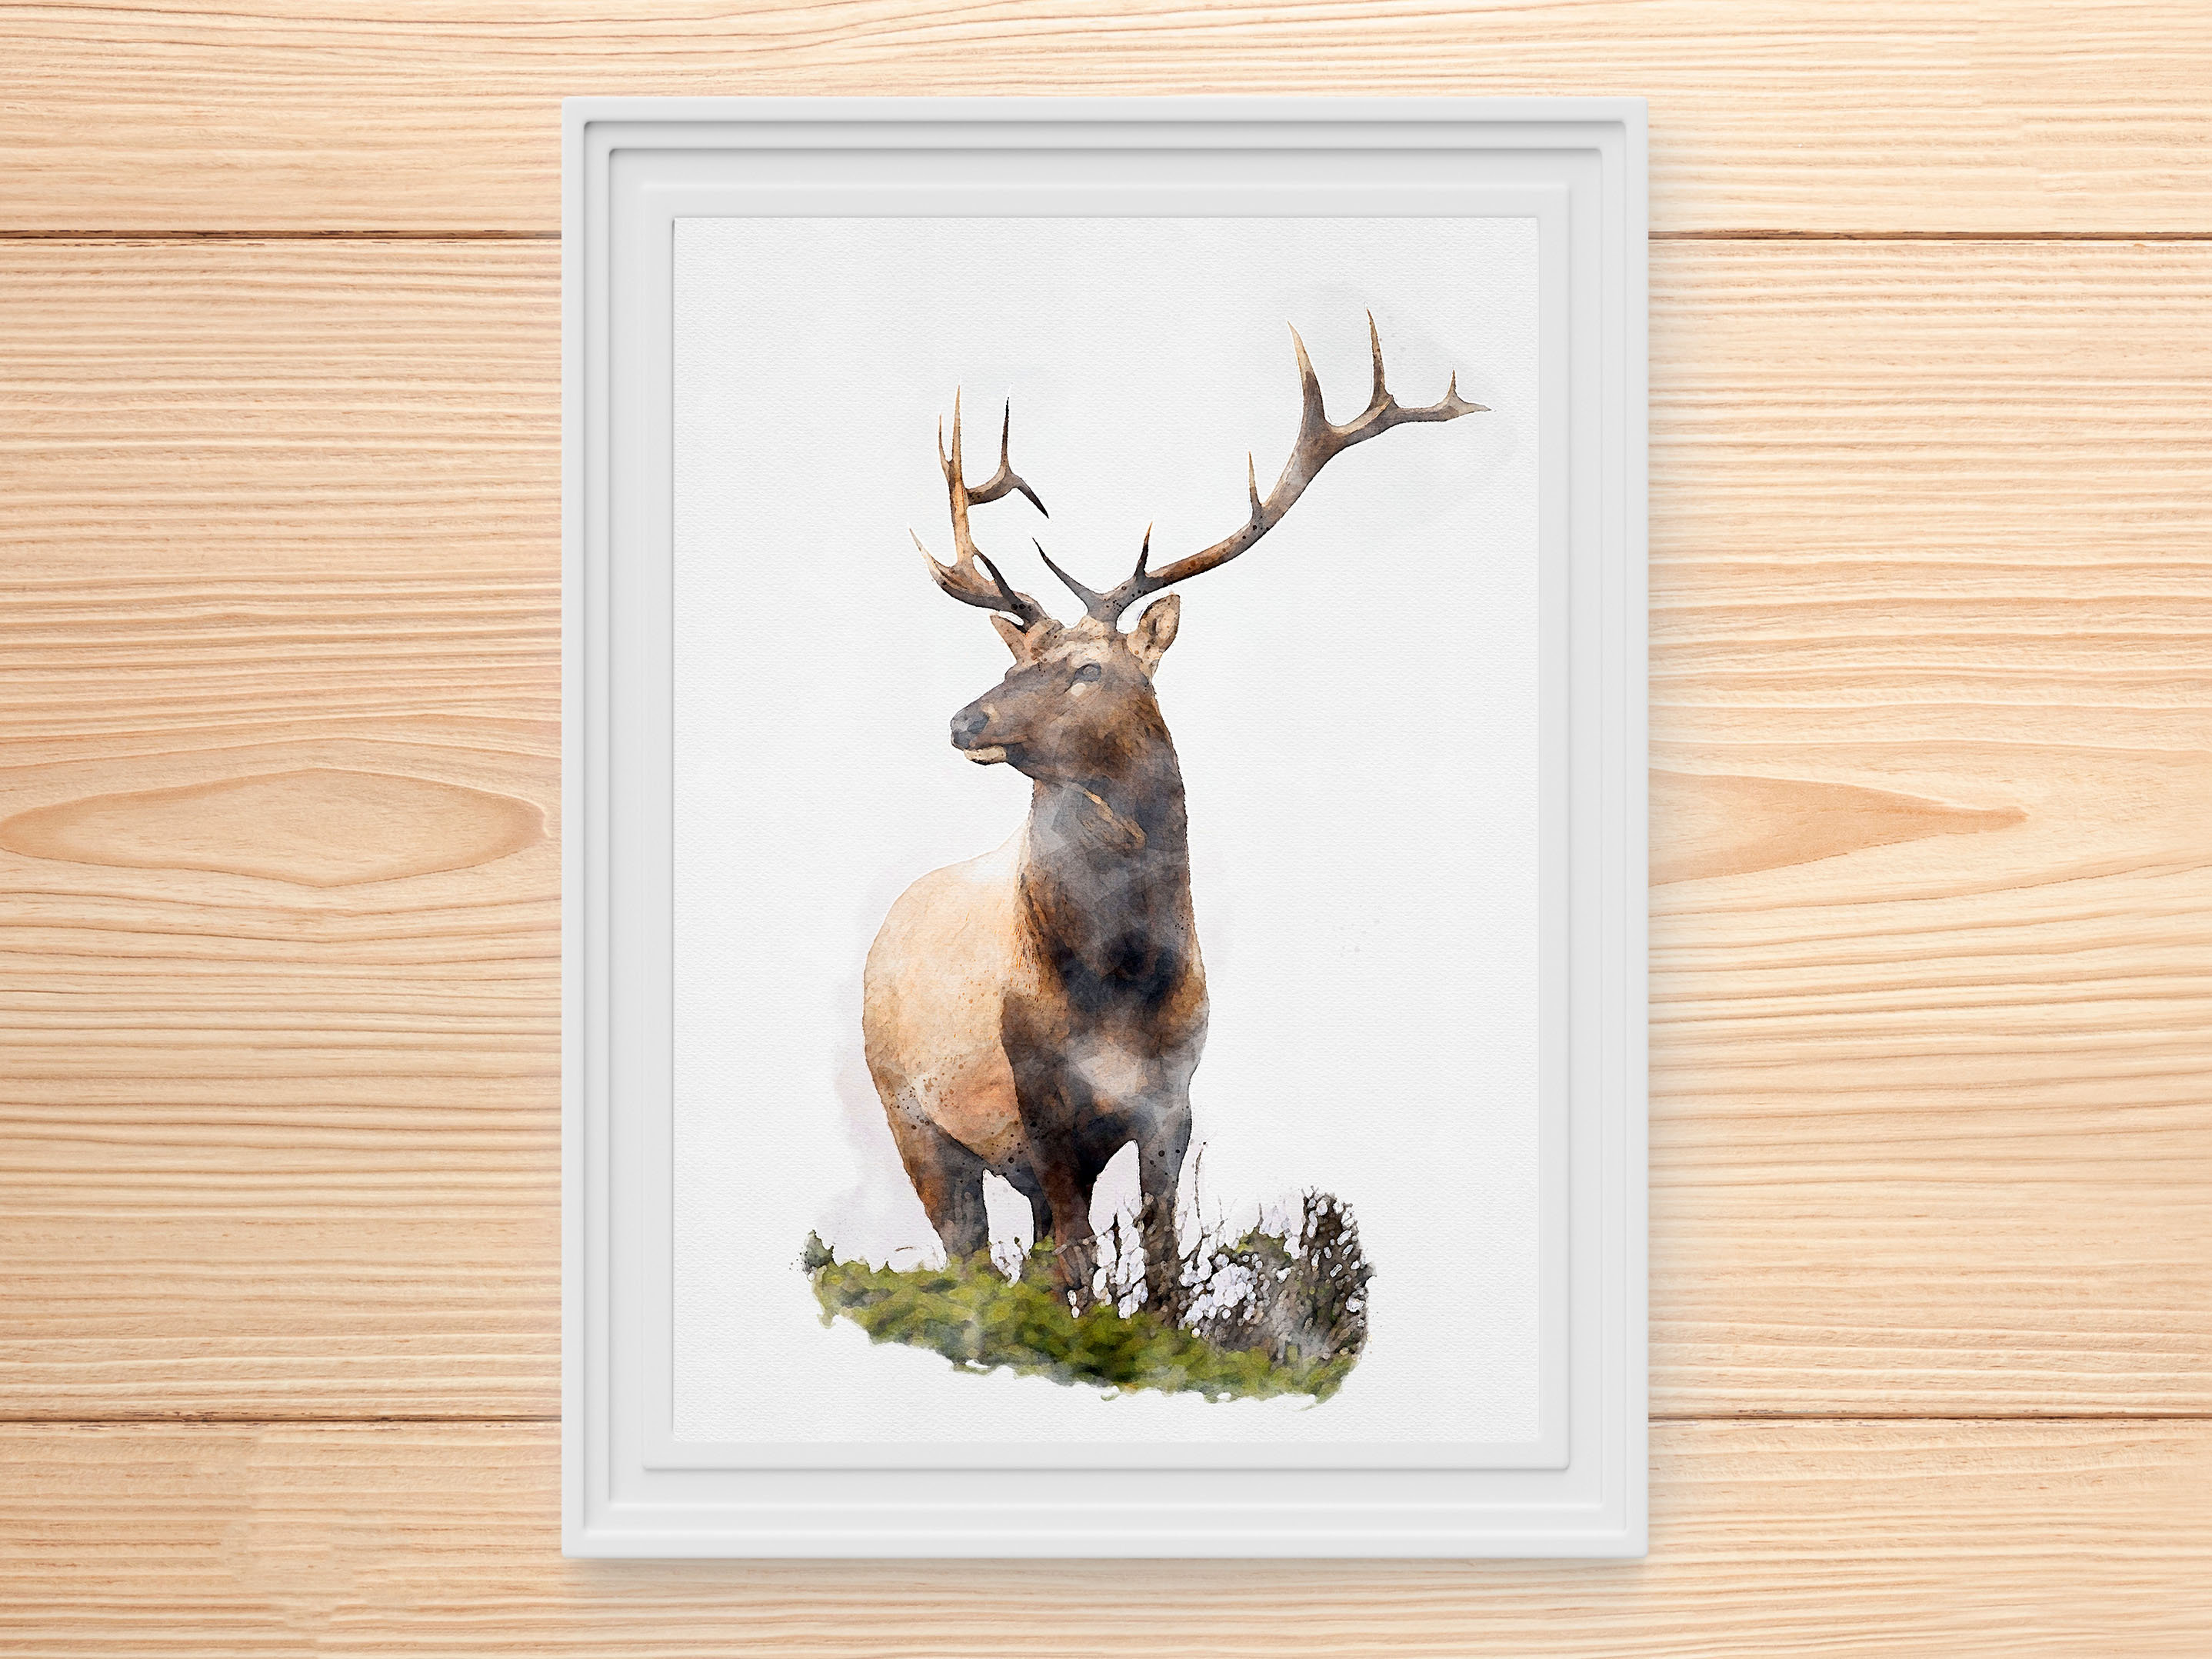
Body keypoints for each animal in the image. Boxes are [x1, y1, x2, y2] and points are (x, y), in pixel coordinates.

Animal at [861, 316, 1485, 1306]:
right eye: (1011, 662)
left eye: (1088, 668)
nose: (965, 719)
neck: (1119, 986)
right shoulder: (1038, 1105)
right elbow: (1080, 1265)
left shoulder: (1170, 1101)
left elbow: (1160, 1264)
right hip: (910, 1118)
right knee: (972, 1261)